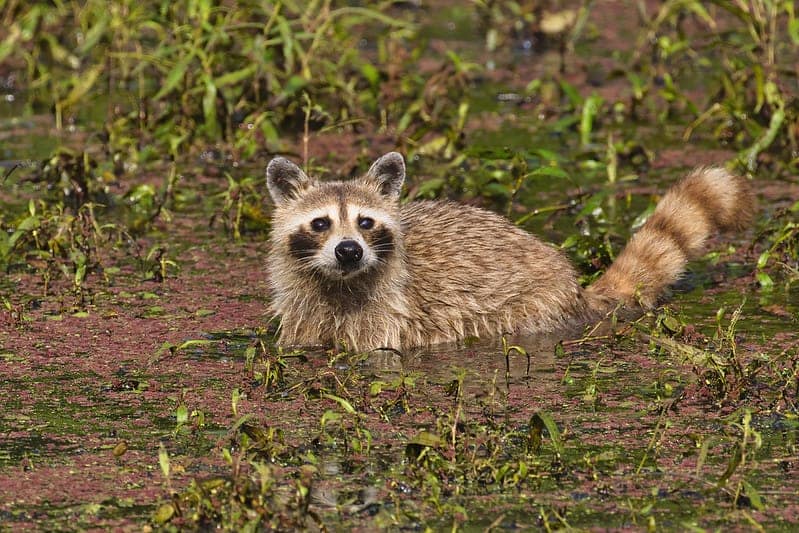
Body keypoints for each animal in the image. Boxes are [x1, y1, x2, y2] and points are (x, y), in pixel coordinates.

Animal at [265, 152, 755, 352]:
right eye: (321, 223)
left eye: (366, 222)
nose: (349, 251)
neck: (339, 285)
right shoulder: (305, 309)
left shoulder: (388, 313)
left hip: (533, 308)